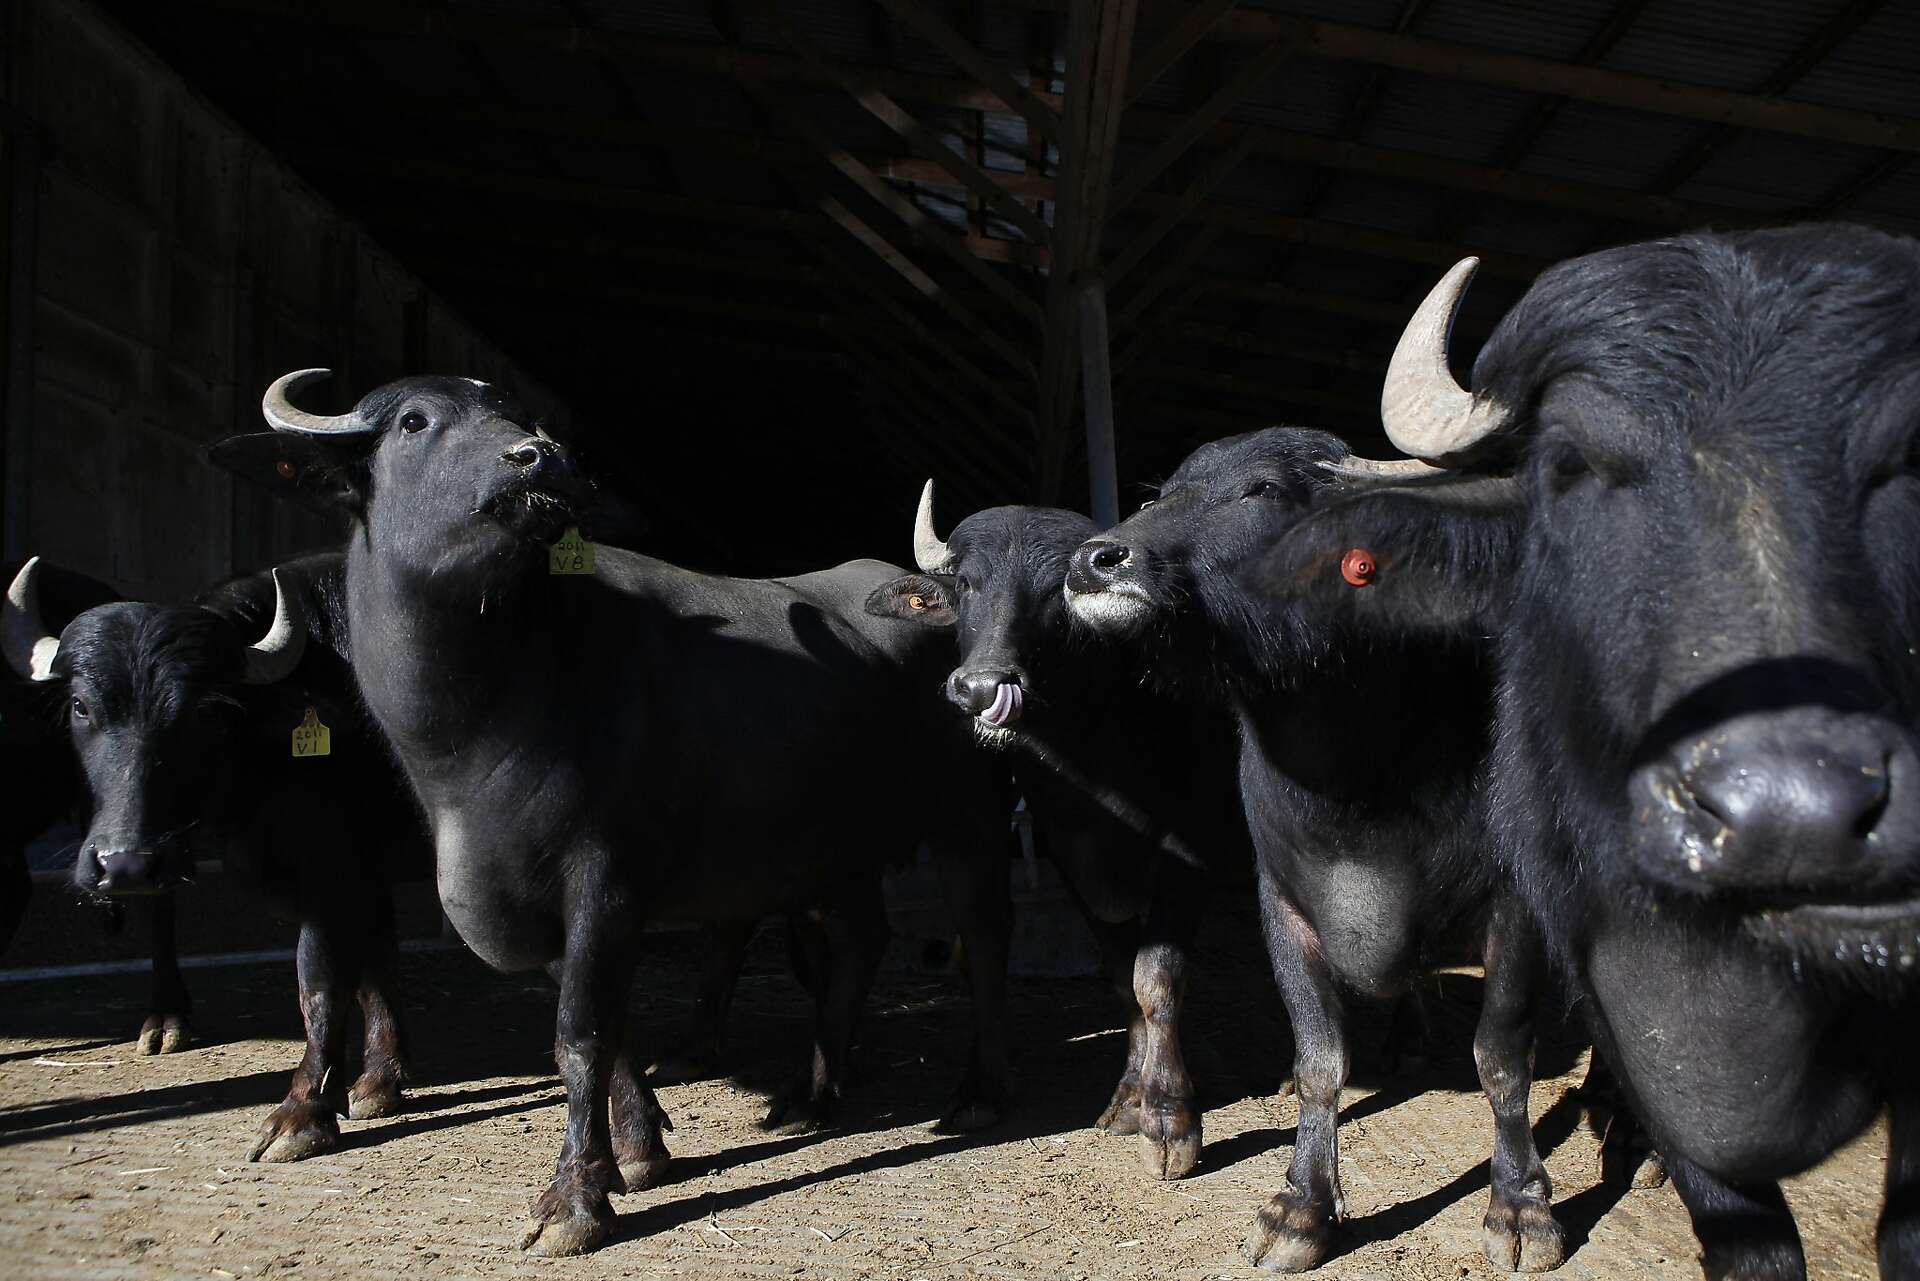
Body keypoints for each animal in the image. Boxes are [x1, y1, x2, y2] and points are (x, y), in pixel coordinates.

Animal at [209, 372, 1011, 1256]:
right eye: (415, 421)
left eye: (515, 416)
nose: (539, 456)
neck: (490, 713)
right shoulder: (536, 900)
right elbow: (610, 1023)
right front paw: (638, 1145)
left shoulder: (604, 875)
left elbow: (580, 1033)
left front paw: (576, 1199)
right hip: (834, 847)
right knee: (863, 938)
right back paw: (814, 1091)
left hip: (971, 816)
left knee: (983, 940)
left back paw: (978, 1090)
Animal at [1065, 429, 1563, 1272]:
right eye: (1160, 491)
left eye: (1262, 489)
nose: (1096, 560)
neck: (1359, 786)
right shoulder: (1283, 903)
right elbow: (1318, 1061)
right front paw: (1300, 1205)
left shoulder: (1517, 909)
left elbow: (1501, 1058)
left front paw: (1520, 1207)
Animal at [1247, 224, 1920, 1280]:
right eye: (1568, 470)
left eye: (1910, 457)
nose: (1787, 812)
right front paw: (1301, 1209)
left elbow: (1503, 1054)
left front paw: (1526, 1205)